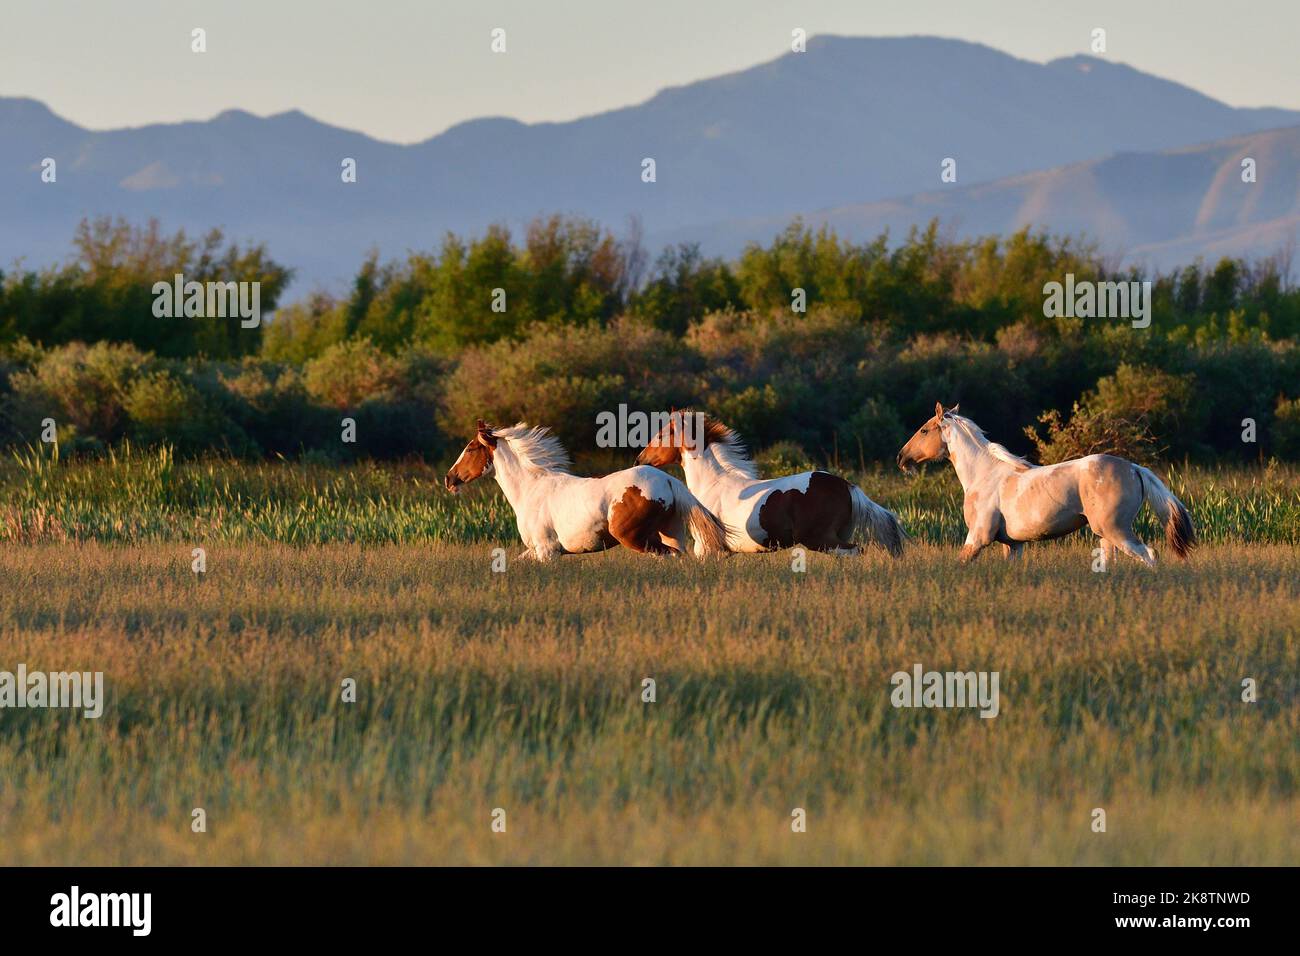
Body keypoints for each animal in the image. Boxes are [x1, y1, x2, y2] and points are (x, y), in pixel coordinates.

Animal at [445, 419, 729, 560]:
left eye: (470, 448)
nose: (449, 479)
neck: (530, 490)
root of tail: (668, 480)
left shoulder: (547, 551)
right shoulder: (535, 550)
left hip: (635, 537)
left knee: (669, 556)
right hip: (671, 531)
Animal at [636, 411, 906, 556]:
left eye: (661, 435)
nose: (640, 458)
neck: (712, 485)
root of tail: (846, 486)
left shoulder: (707, 549)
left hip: (820, 538)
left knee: (853, 551)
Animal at [896, 403, 1194, 566]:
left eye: (924, 430)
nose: (901, 457)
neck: (983, 475)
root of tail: (1134, 468)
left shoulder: (978, 537)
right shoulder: (1013, 545)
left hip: (1117, 530)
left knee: (1150, 555)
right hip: (1106, 535)